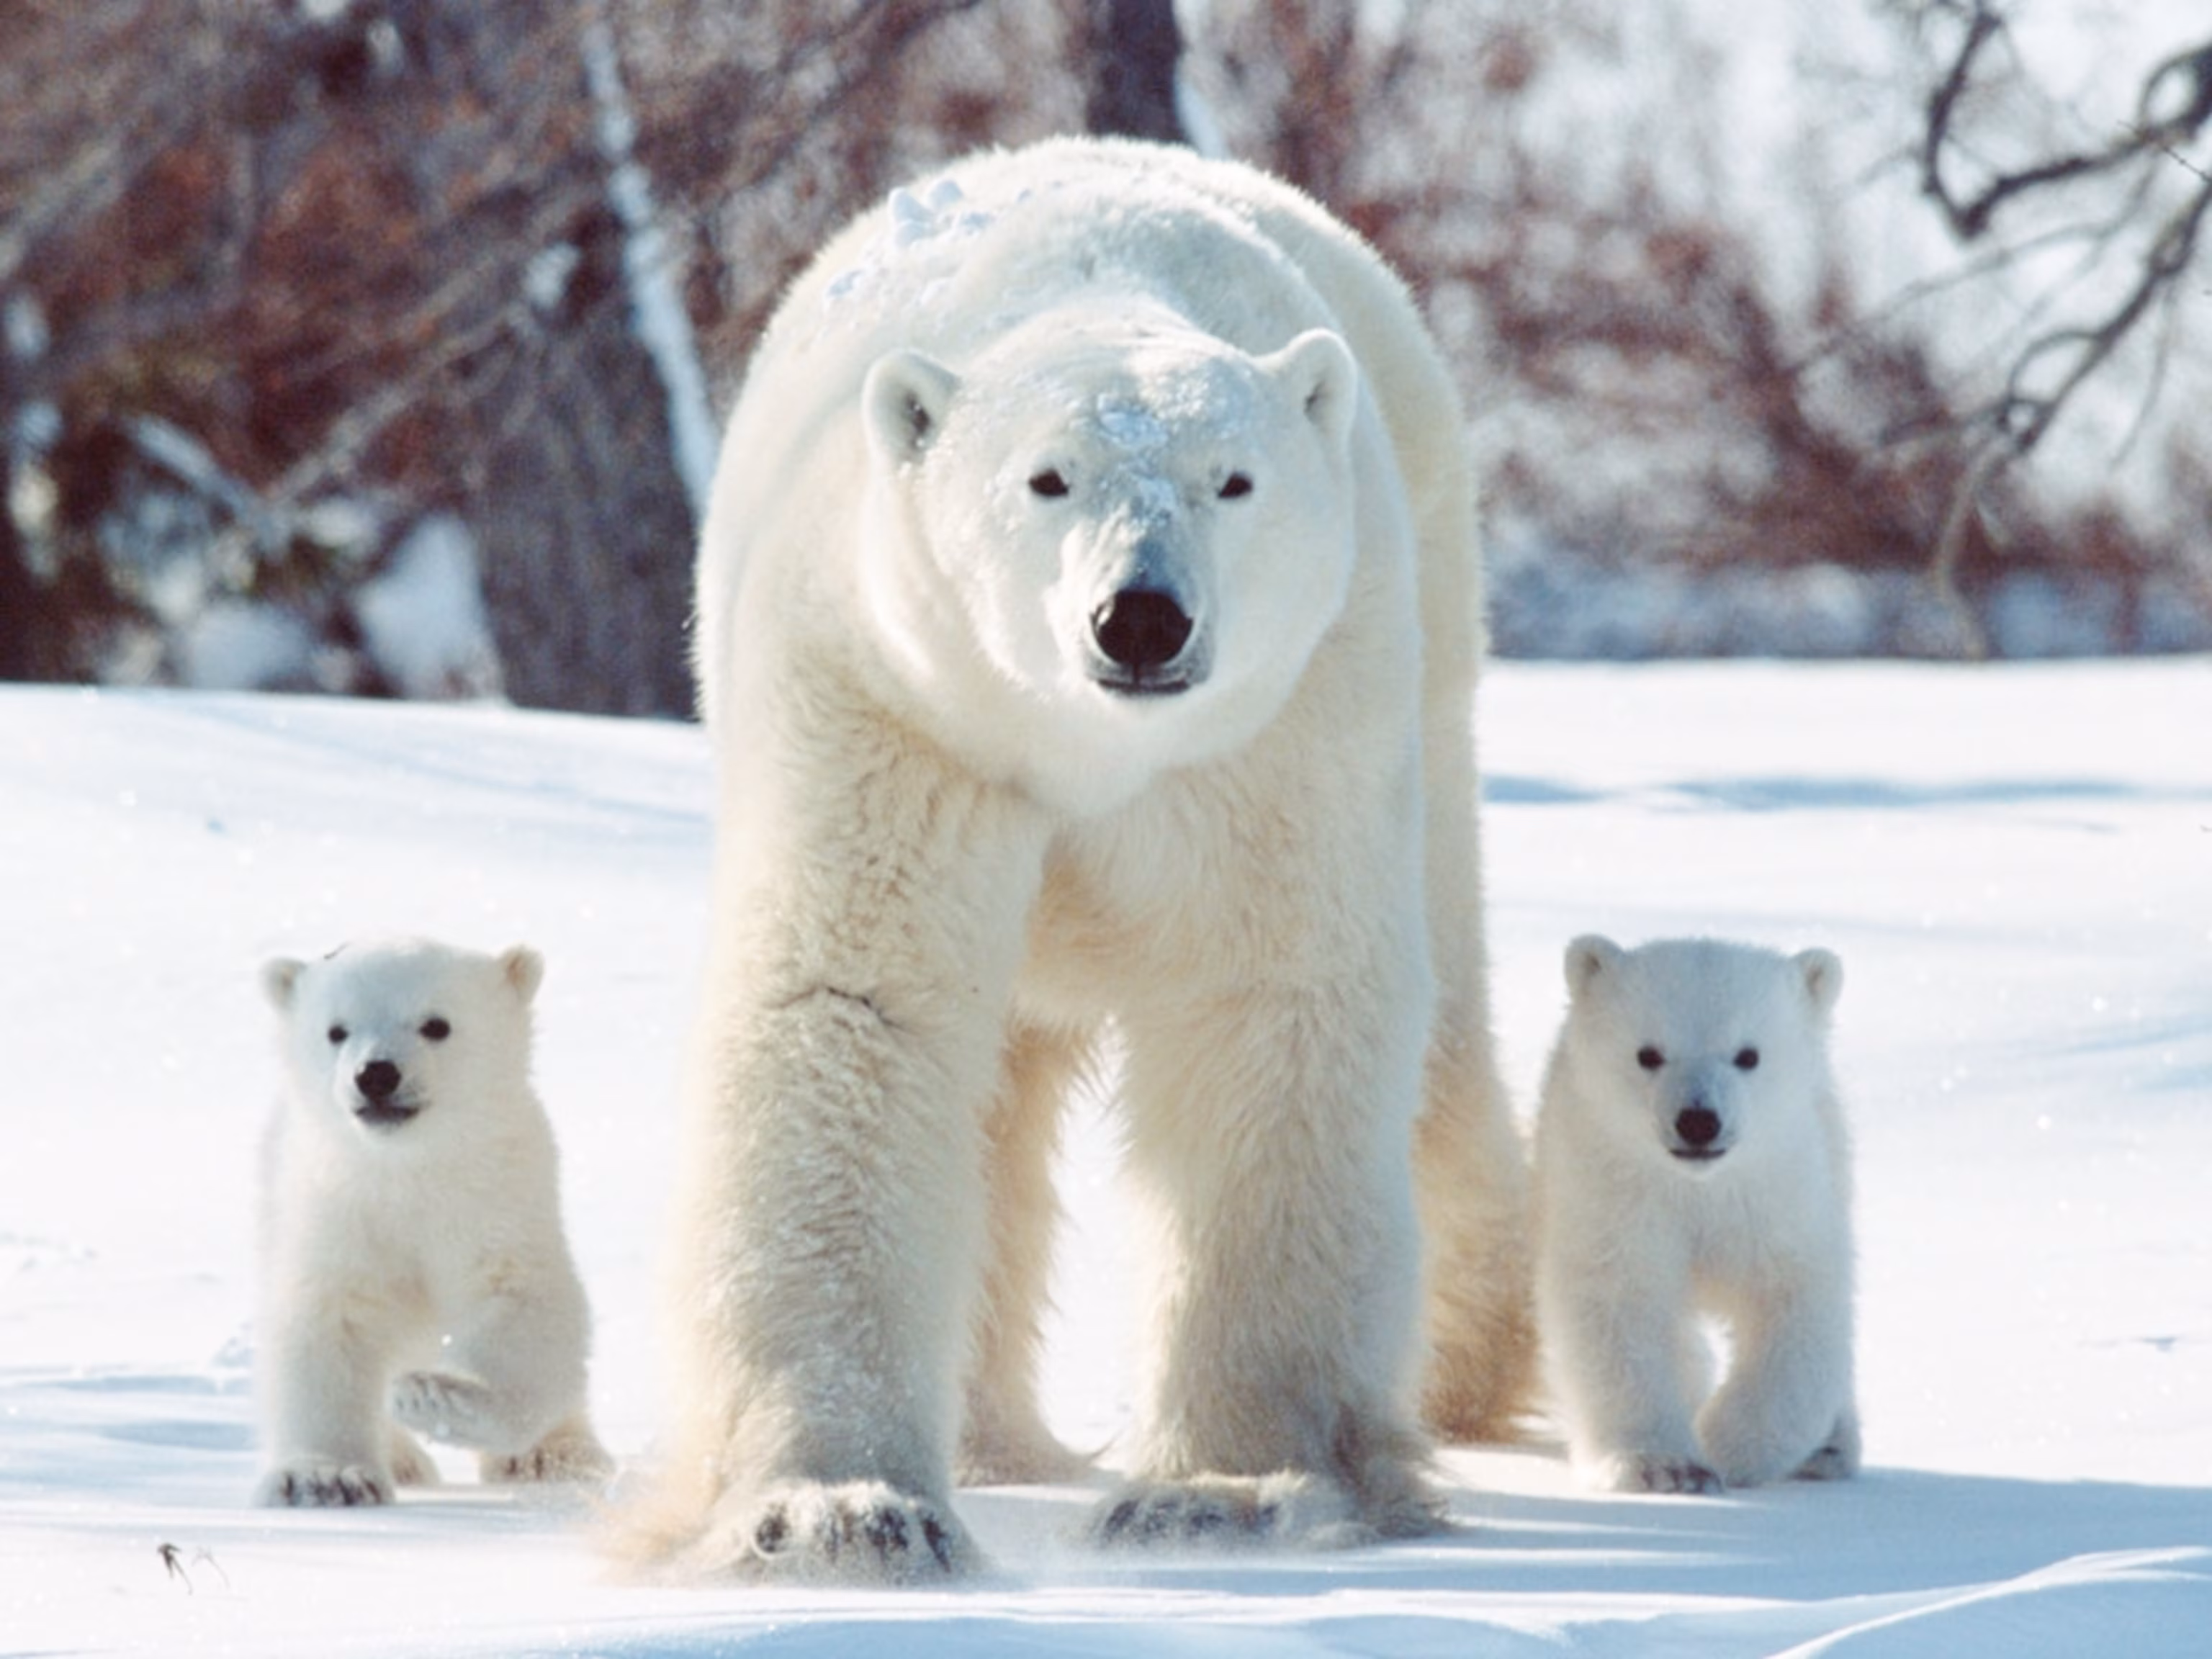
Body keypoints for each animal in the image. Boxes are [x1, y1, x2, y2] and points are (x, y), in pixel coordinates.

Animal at [253, 937, 612, 1507]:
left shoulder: (497, 1200)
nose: (377, 1074)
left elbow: (526, 1303)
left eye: (437, 1024)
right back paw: (404, 1461)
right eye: (336, 1030)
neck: (409, 1168)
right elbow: (326, 1320)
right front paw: (325, 1479)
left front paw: (437, 1396)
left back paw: (553, 1456)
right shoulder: (335, 1211)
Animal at [632, 135, 1532, 1585]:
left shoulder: (1279, 729)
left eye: (1235, 480)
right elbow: (855, 1004)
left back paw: (1461, 1378)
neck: (1081, 747)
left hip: (1428, 656)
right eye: (1046, 479)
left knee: (1443, 1028)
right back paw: (994, 1436)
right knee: (995, 1094)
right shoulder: (889, 693)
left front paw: (1223, 1490)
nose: (1143, 616)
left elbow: (1269, 1002)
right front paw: (836, 1511)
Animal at [1531, 935, 1860, 1494]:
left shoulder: (1778, 1197)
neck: (1698, 1189)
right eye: (1648, 1054)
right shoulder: (1613, 1194)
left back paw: (1832, 1449)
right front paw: (1660, 1465)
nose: (1699, 1121)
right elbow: (1620, 1307)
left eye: (1748, 1055)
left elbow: (1796, 1309)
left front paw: (1728, 1445)